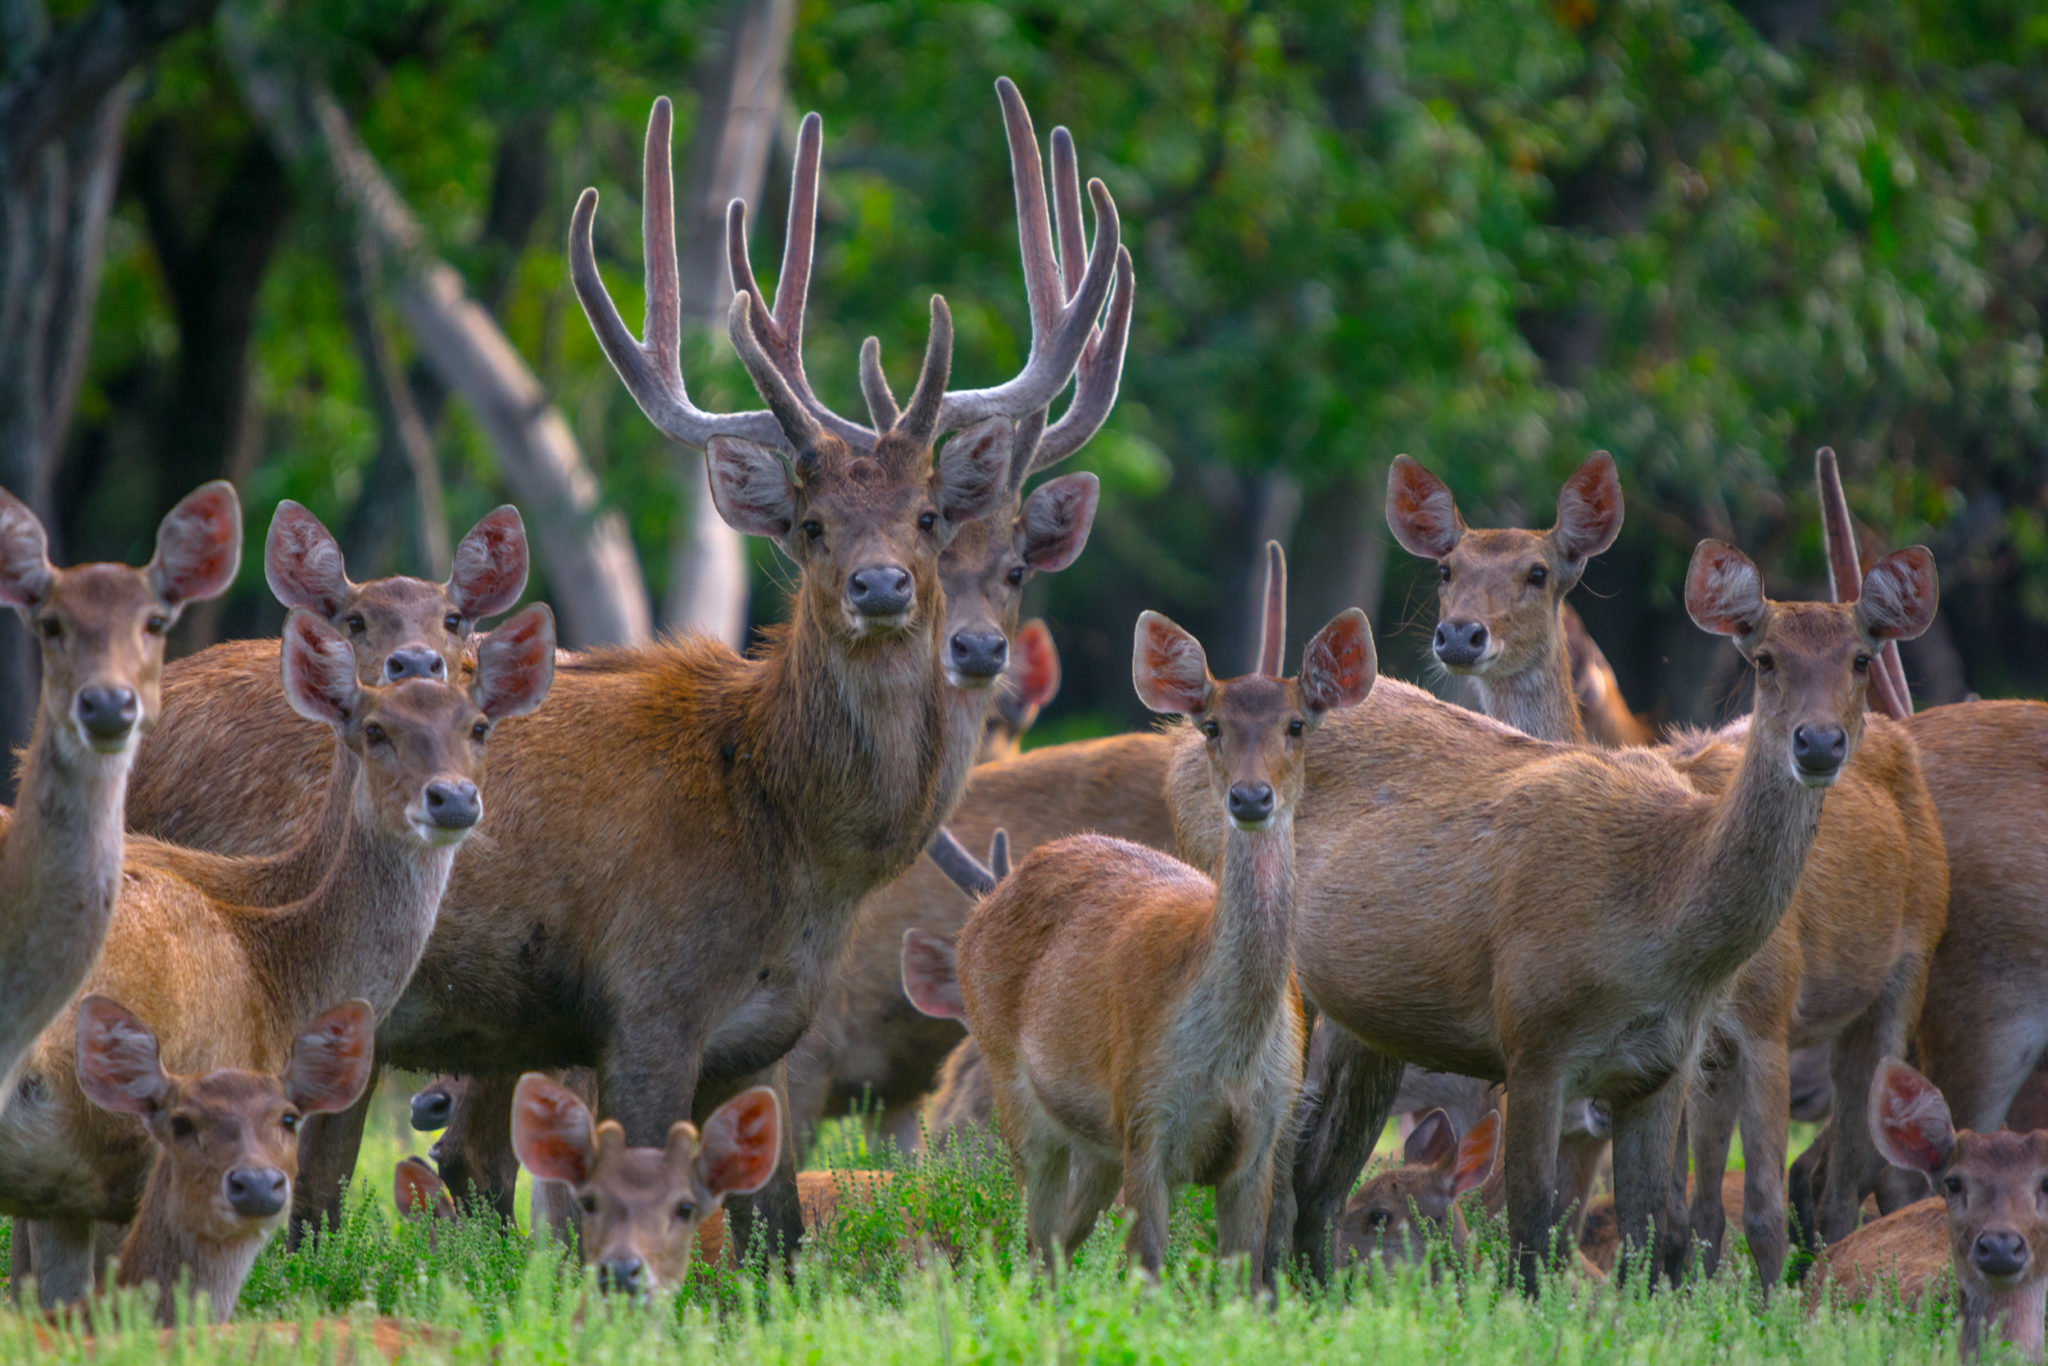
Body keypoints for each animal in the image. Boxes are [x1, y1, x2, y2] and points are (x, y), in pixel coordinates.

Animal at [947, 547, 1376, 1276]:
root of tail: (980, 911)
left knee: (1060, 1240)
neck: (1228, 1061)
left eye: (1296, 724)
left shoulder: (1263, 1140)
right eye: (1212, 726)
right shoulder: (1145, 1116)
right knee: (1035, 1241)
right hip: (1015, 1087)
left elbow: (1244, 1273)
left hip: (1096, 1142)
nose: (1250, 797)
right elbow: (1147, 1266)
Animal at [1166, 535, 1937, 1291]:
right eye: (1765, 658)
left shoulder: (1664, 1068)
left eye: (1861, 657)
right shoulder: (1533, 1040)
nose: (1818, 743)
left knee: (1319, 1175)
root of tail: (1182, 743)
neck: (1659, 925)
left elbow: (1650, 1238)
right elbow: (1532, 1236)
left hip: (1373, 1023)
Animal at [1386, 451, 1950, 1289]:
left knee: (1850, 1170)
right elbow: (1664, 1211)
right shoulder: (1681, 1045)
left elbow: (1741, 1206)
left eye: (1538, 572)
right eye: (1447, 567)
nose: (1460, 634)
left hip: (1901, 976)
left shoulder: (1765, 1015)